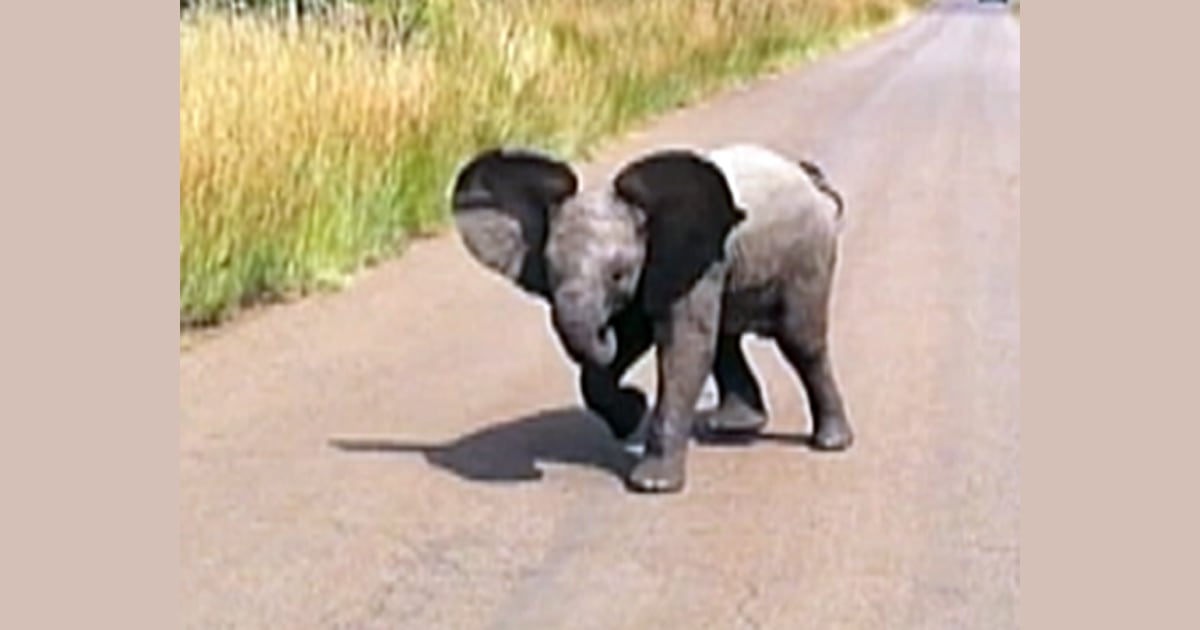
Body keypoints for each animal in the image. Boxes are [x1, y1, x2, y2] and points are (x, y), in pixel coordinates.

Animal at [449, 142, 852, 493]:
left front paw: (651, 484)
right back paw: (735, 426)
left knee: (801, 342)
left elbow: (680, 348)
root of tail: (811, 178)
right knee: (725, 340)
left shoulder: (691, 256)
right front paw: (630, 414)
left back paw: (831, 443)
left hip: (808, 255)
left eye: (617, 275)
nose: (603, 328)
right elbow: (632, 341)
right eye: (550, 273)